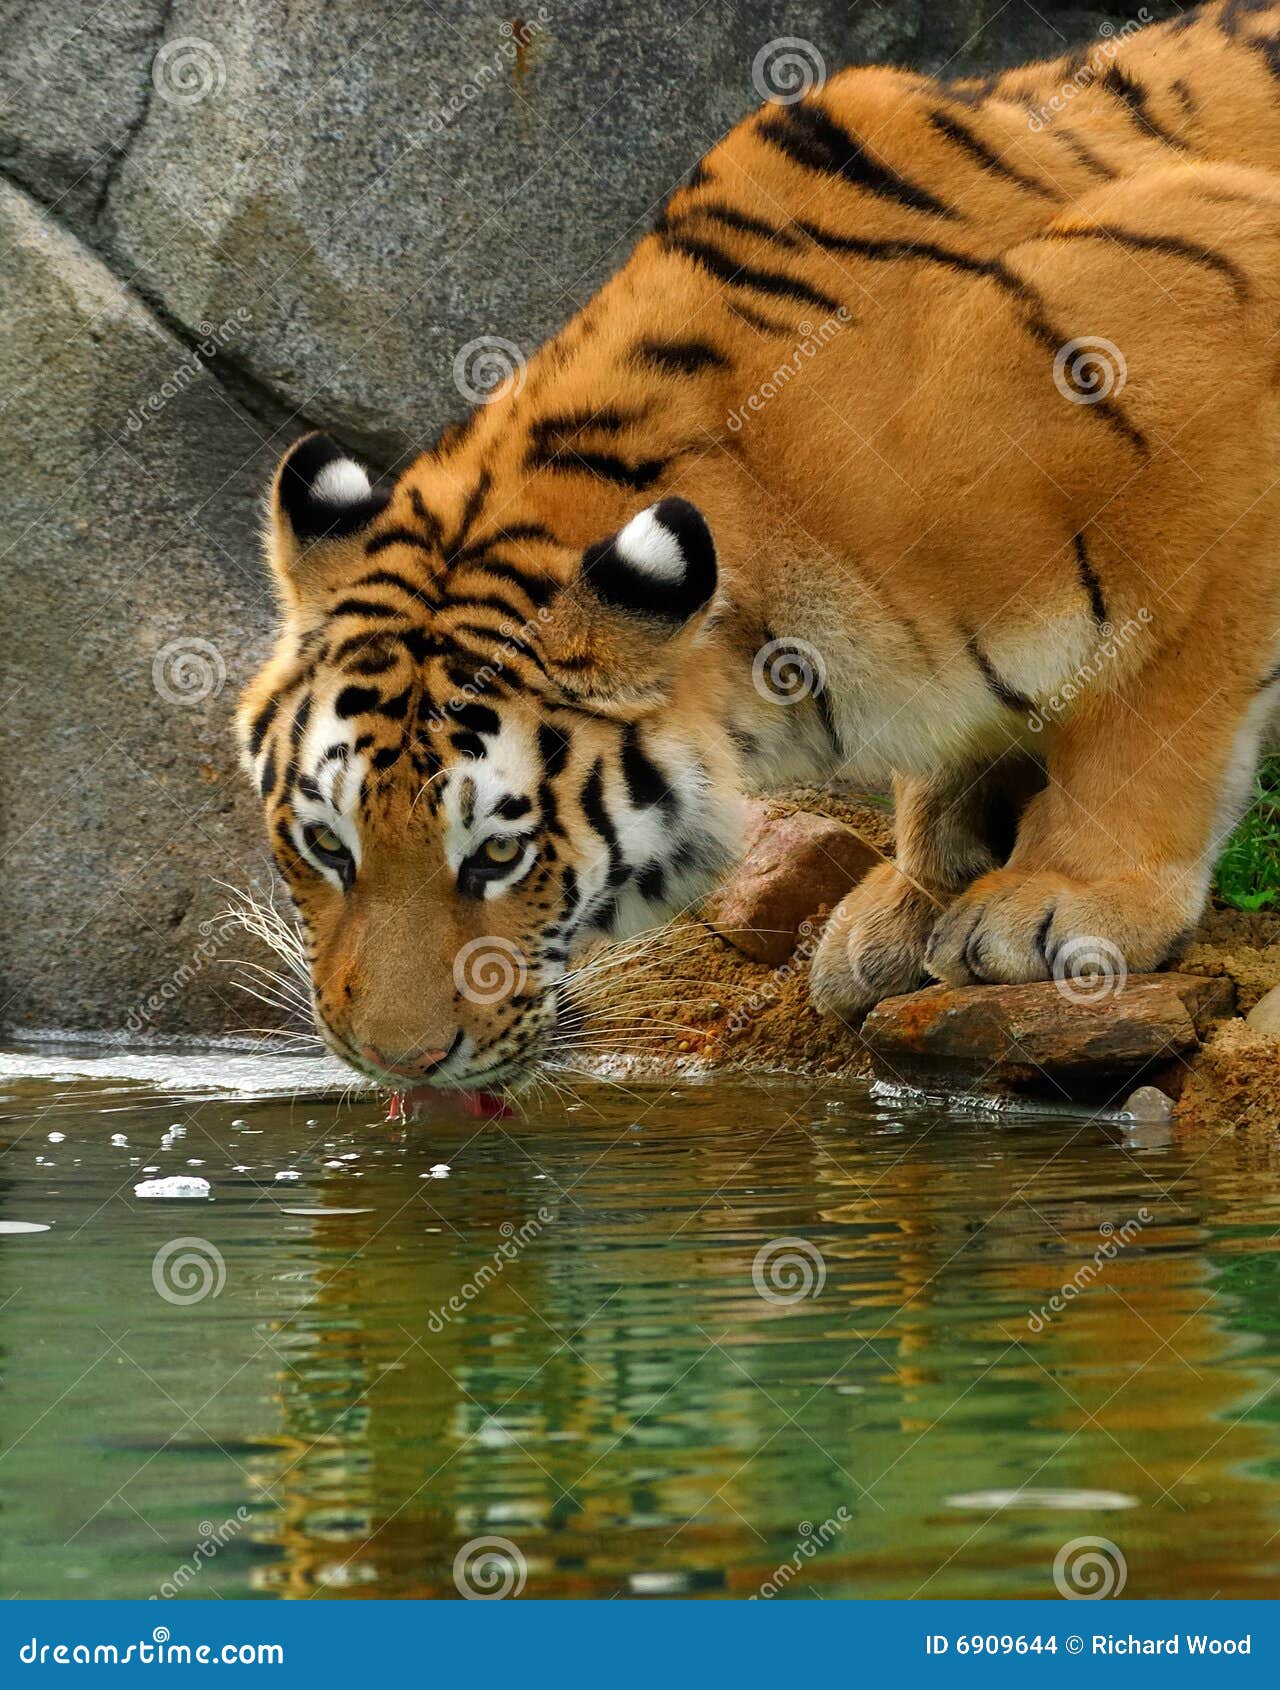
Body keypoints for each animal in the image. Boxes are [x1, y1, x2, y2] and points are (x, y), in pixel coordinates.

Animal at [240, 0, 1280, 1098]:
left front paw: (1064, 897)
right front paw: (907, 903)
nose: (398, 1063)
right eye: (326, 843)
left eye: (495, 857)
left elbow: (1152, 712)